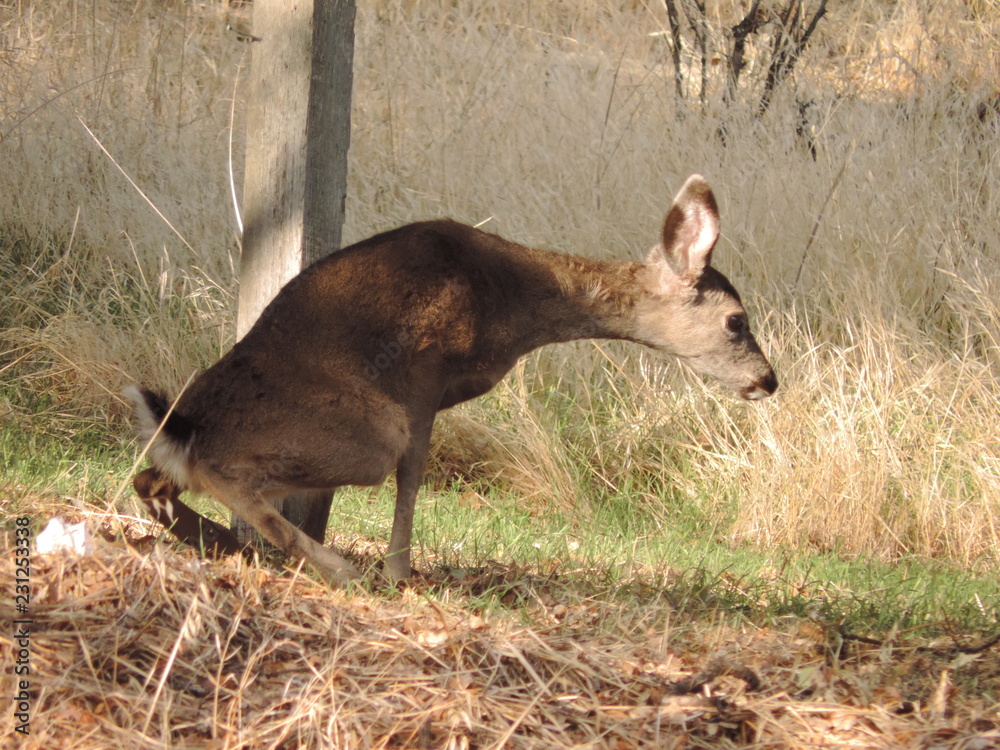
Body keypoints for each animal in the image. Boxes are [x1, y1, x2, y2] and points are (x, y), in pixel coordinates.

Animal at [125, 175, 777, 585]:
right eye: (736, 320)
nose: (768, 380)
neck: (510, 306)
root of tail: (184, 425)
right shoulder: (424, 372)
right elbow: (414, 474)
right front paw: (399, 570)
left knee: (147, 479)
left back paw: (229, 544)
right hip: (371, 431)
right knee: (221, 472)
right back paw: (336, 567)